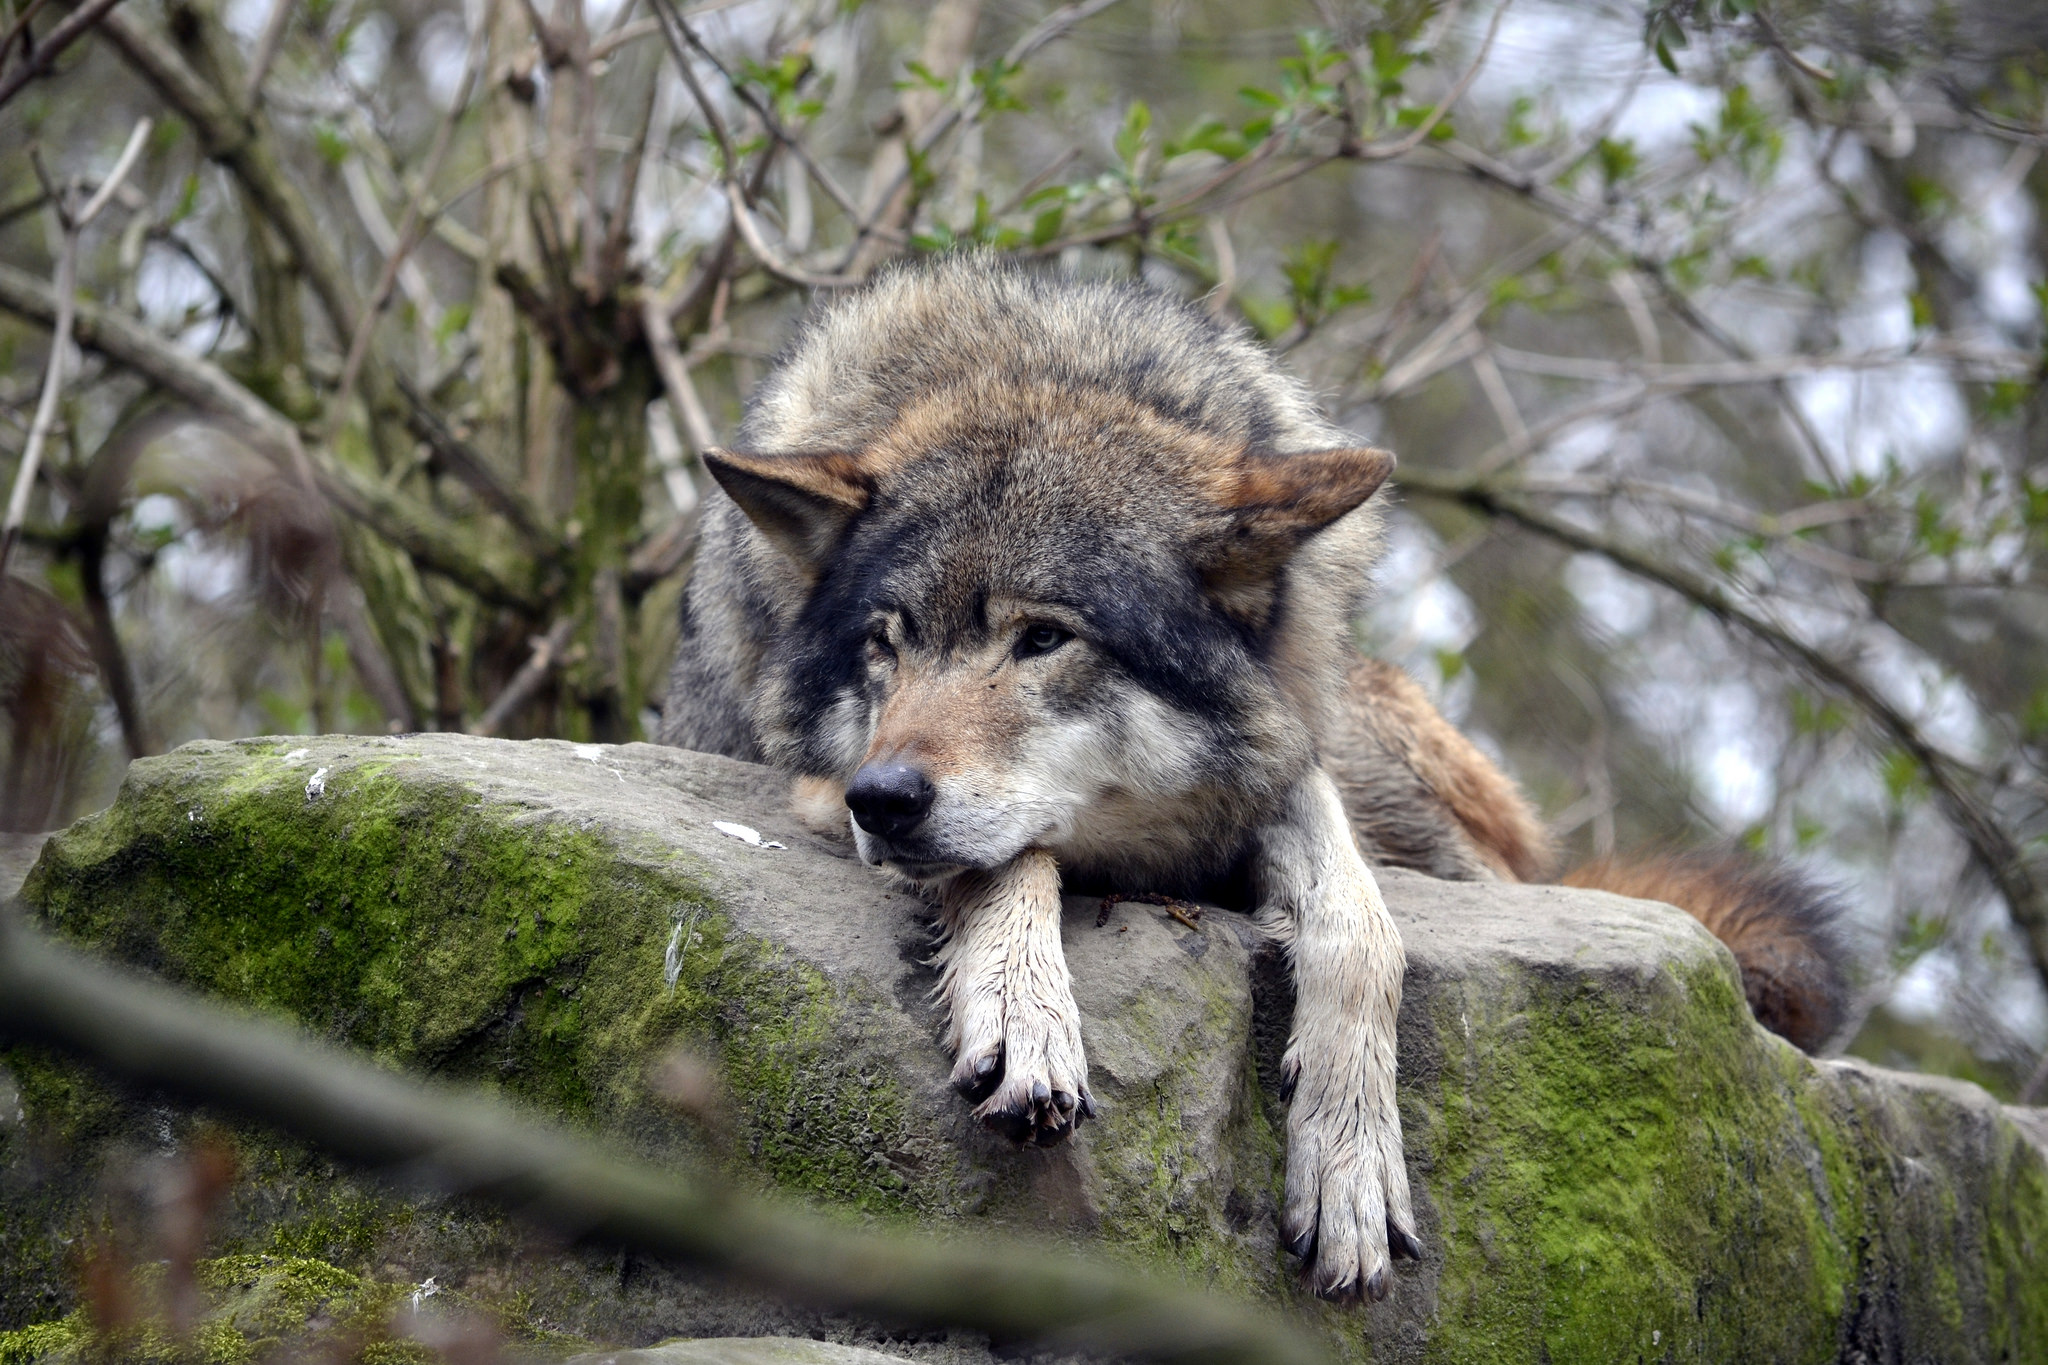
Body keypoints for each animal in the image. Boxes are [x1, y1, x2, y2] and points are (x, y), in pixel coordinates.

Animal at [658, 255, 1847, 1302]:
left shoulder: (1288, 764)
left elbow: (1362, 927)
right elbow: (1011, 860)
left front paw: (1351, 1158)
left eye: (1042, 639)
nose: (887, 801)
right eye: (884, 643)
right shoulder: (820, 780)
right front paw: (1026, 1012)